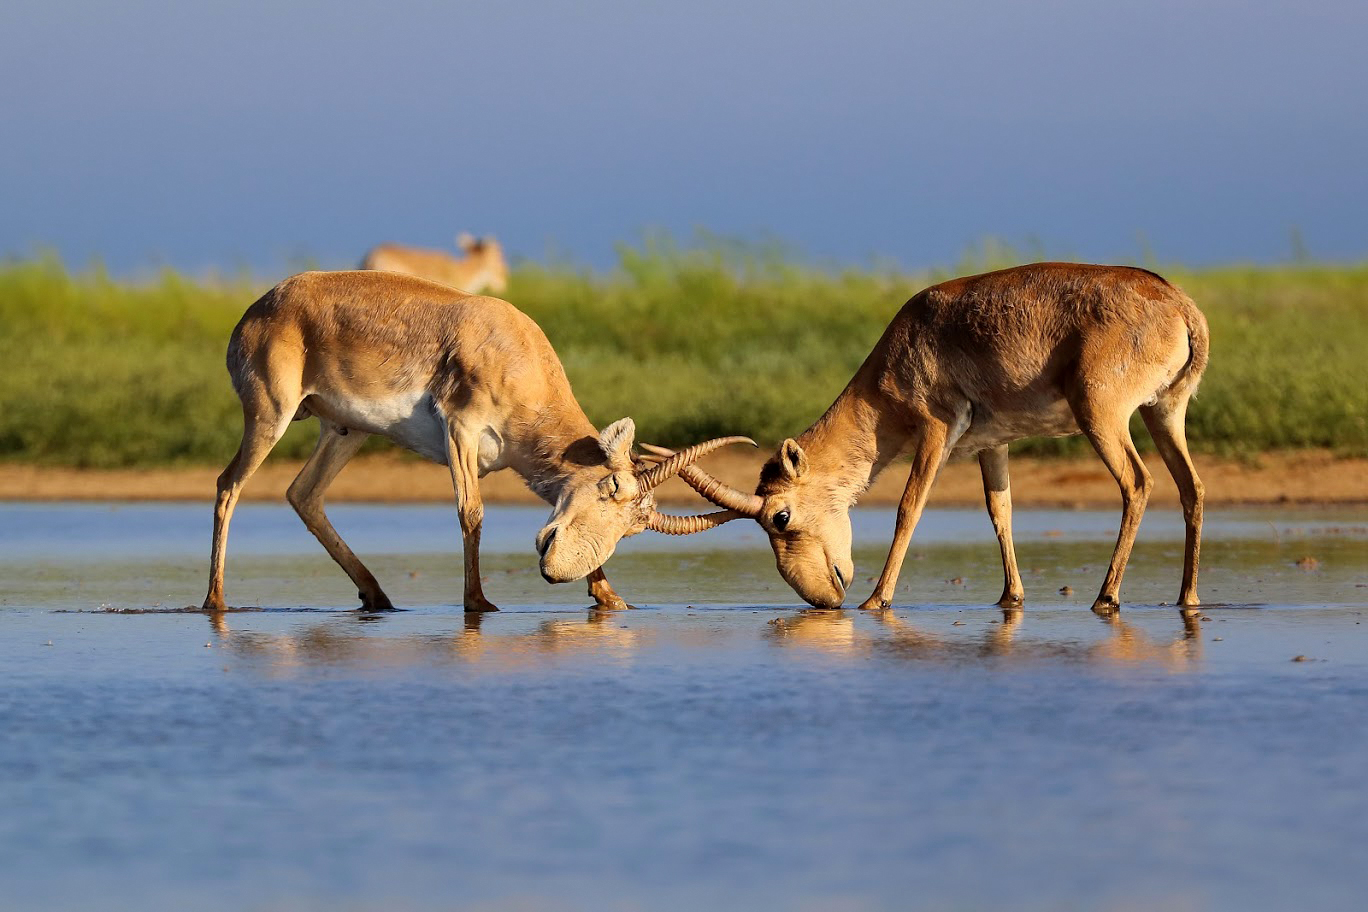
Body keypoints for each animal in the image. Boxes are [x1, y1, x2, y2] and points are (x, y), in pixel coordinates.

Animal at [202, 270, 749, 615]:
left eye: (633, 528)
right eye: (609, 488)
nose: (553, 573)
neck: (514, 350)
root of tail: (259, 308)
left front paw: (612, 599)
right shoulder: (460, 431)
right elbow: (472, 512)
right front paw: (479, 603)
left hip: (346, 431)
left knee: (303, 494)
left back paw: (378, 597)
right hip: (271, 414)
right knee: (229, 484)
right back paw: (215, 602)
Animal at [646, 263, 1209, 615]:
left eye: (779, 516)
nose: (825, 600)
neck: (911, 335)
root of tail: (1181, 308)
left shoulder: (936, 430)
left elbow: (909, 507)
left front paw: (877, 600)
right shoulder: (993, 443)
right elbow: (1000, 511)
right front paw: (1010, 598)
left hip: (1103, 417)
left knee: (1138, 483)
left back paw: (1106, 597)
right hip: (1164, 412)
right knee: (1191, 487)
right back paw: (1188, 598)